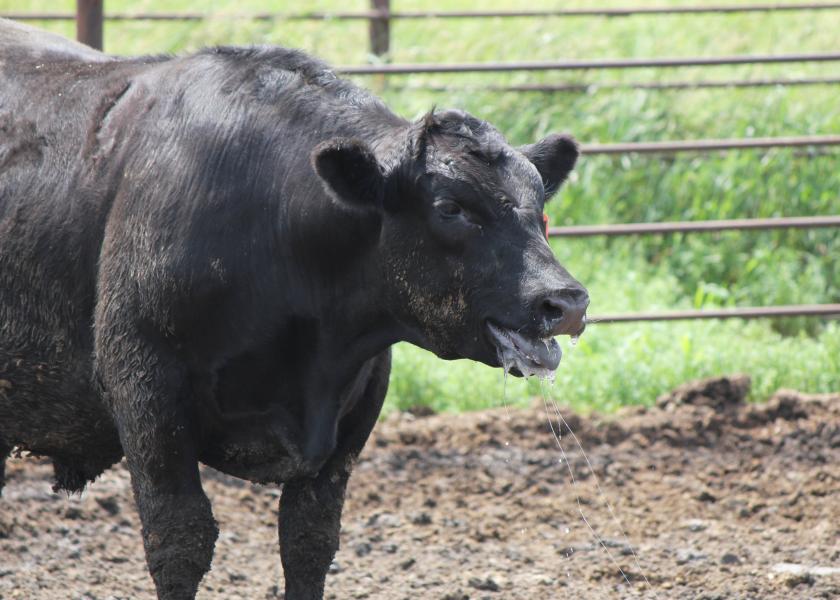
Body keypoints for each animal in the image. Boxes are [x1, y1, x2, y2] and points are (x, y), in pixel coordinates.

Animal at [0, 19, 588, 600]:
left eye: (541, 206)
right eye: (450, 208)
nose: (565, 300)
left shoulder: (357, 403)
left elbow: (309, 541)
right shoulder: (143, 383)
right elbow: (180, 538)